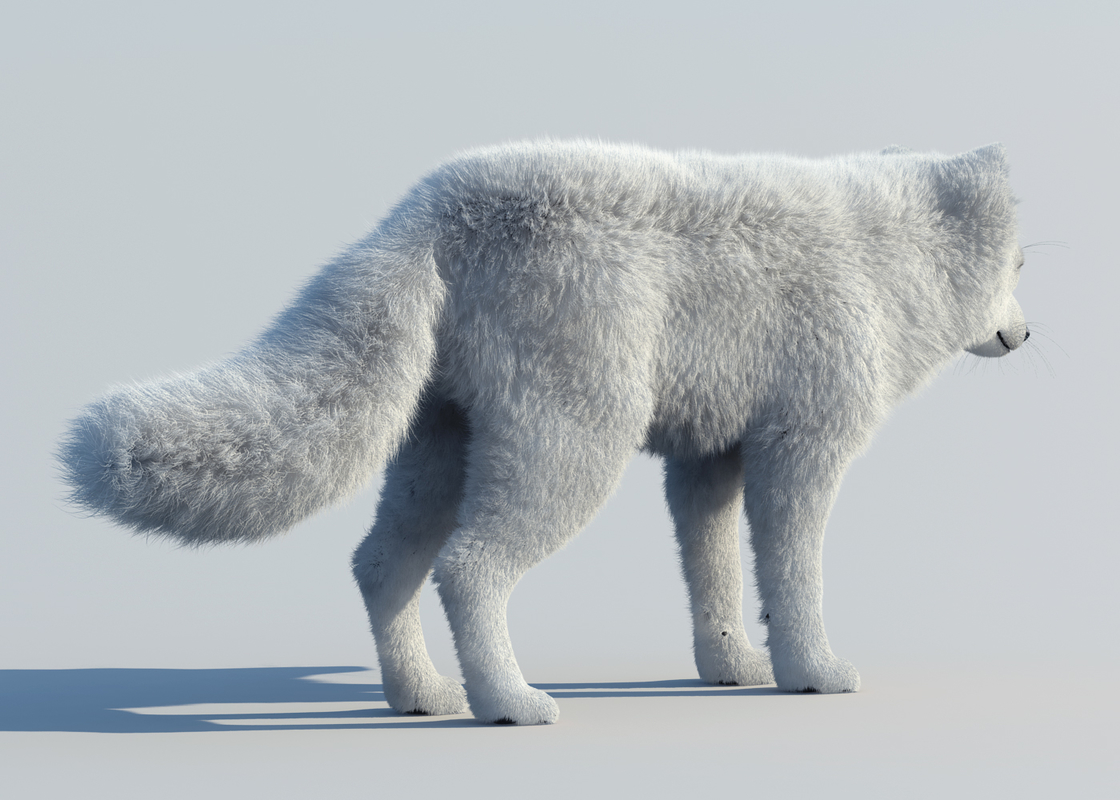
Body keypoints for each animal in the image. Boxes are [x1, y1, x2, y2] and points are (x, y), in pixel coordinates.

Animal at [59, 141, 1030, 724]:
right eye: (1020, 264)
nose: (1024, 336)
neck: (886, 258)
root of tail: (430, 207)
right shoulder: (801, 448)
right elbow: (793, 574)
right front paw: (813, 671)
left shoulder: (707, 461)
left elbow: (712, 577)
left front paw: (730, 669)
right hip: (573, 444)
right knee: (468, 566)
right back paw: (509, 702)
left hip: (440, 446)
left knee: (379, 564)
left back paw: (422, 695)